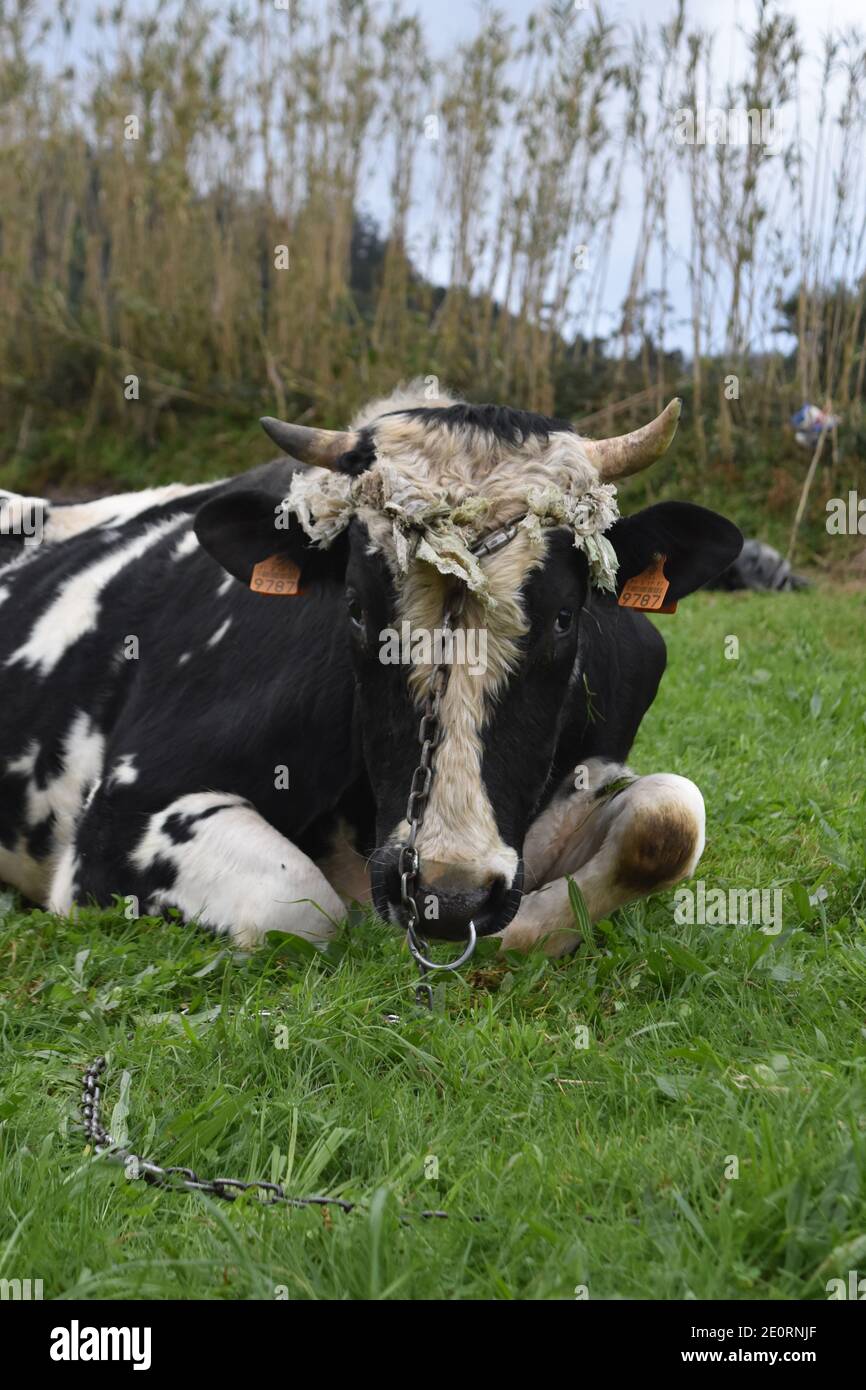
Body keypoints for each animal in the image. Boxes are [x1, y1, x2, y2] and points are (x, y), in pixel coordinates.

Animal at [0, 383, 742, 958]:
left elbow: (669, 821)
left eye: (565, 617)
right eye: (355, 609)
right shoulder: (121, 818)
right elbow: (299, 902)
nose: (448, 895)